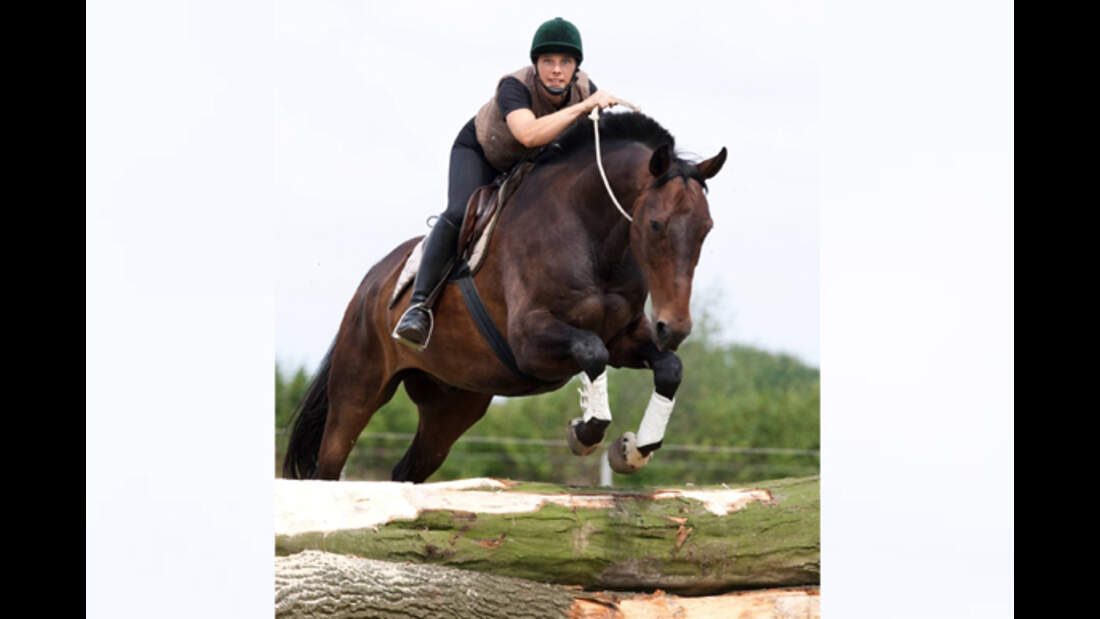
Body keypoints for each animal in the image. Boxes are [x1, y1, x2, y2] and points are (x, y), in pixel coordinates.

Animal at [283, 111, 726, 483]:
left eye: (706, 228)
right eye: (655, 224)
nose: (675, 328)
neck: (592, 238)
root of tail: (371, 283)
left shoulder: (625, 340)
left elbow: (668, 368)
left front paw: (633, 450)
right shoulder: (529, 341)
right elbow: (591, 350)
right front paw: (584, 432)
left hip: (453, 403)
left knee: (408, 470)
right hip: (358, 388)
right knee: (330, 463)